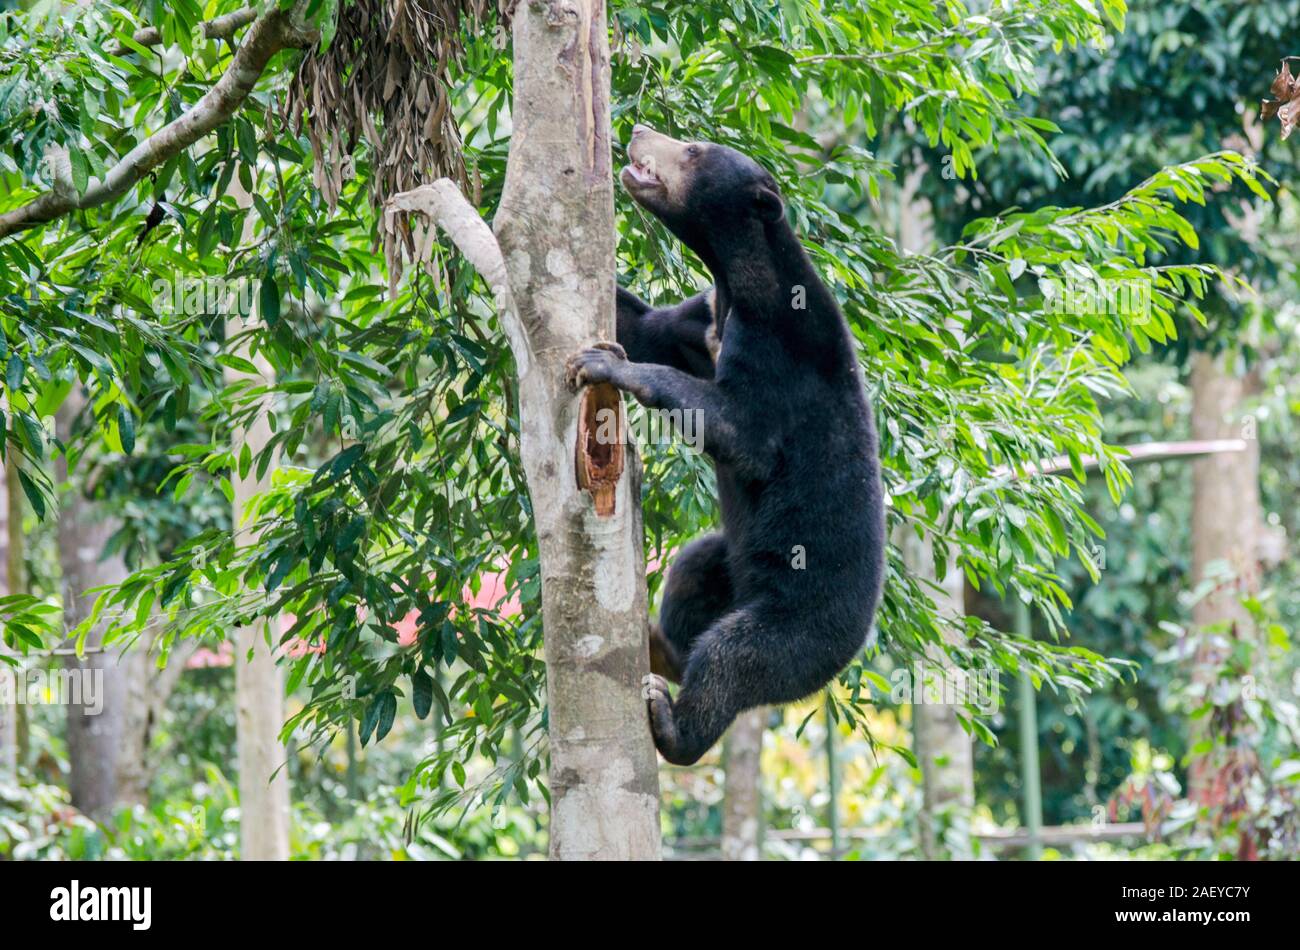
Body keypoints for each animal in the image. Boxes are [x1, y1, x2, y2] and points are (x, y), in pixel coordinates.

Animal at [569, 124, 885, 766]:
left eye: (692, 150)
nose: (638, 130)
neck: (740, 280)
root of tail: (853, 648)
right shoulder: (703, 321)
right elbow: (646, 325)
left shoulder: (780, 349)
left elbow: (741, 427)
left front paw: (607, 363)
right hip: (726, 560)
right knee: (690, 572)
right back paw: (658, 645)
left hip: (799, 622)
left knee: (733, 659)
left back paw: (672, 723)